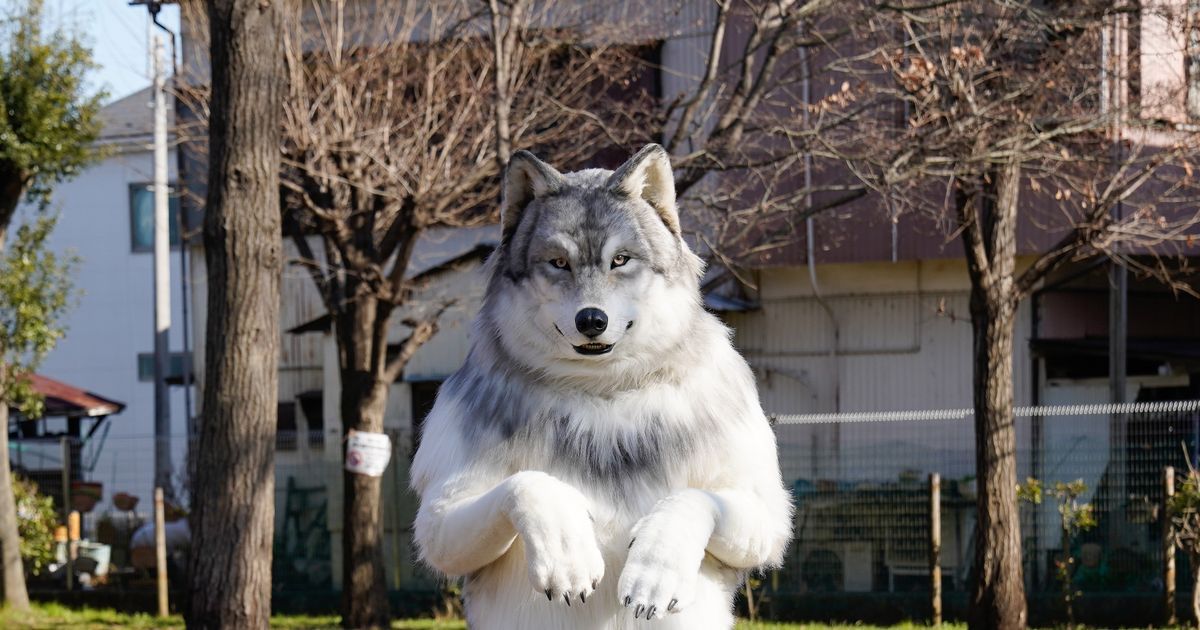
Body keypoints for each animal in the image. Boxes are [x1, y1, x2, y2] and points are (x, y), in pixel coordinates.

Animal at [411, 144, 793, 630]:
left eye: (621, 260)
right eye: (559, 263)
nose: (591, 320)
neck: (601, 393)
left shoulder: (764, 512)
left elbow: (691, 500)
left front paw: (653, 572)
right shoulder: (441, 519)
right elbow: (528, 484)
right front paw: (568, 555)